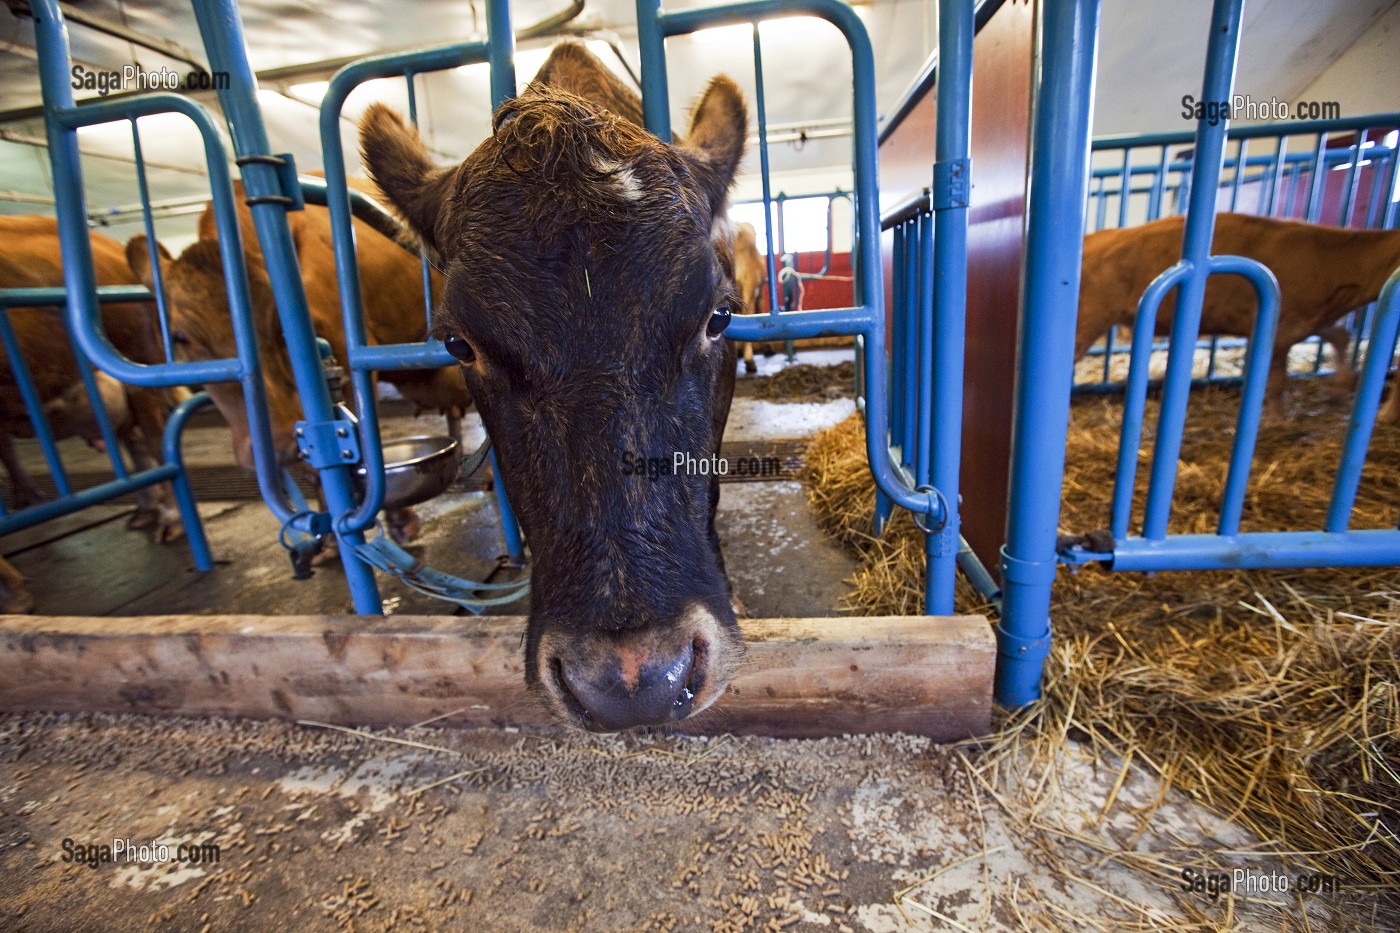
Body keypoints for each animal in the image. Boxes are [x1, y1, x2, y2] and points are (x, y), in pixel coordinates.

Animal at [126, 178, 471, 544]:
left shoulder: (347, 360)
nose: (278, 445)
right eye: (179, 337)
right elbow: (318, 463)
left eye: (278, 320)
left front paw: (398, 520)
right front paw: (332, 540)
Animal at [1076, 213, 1400, 417]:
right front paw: (1275, 421)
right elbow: (1276, 380)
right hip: (1089, 319)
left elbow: (1340, 335)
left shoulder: (1310, 320)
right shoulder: (1280, 327)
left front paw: (1341, 388)